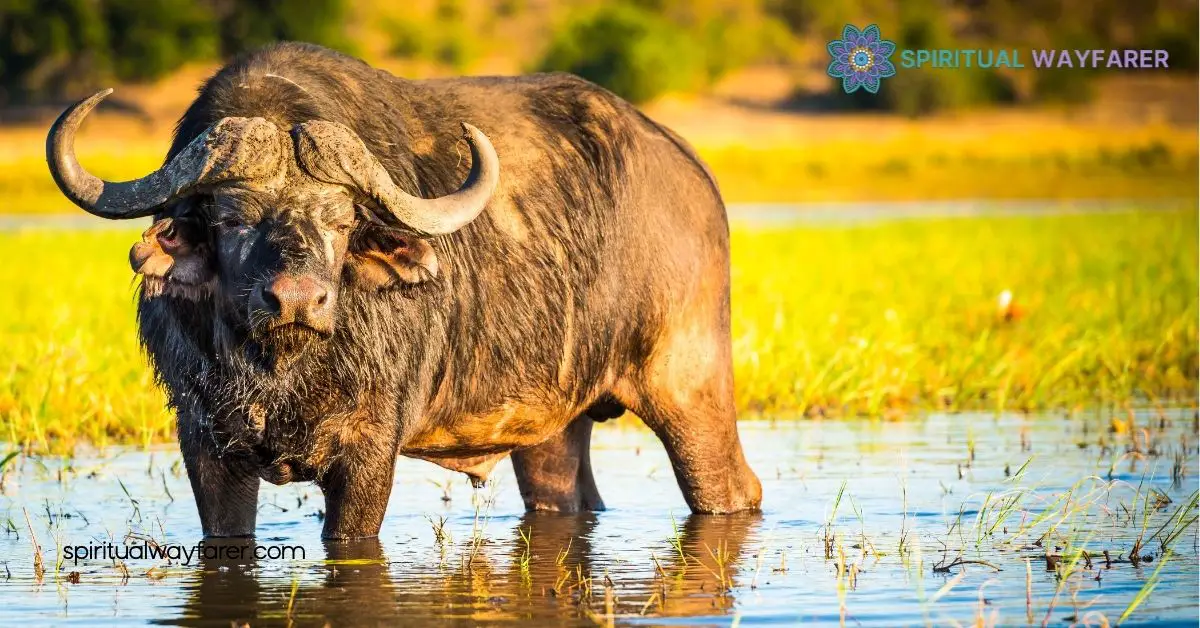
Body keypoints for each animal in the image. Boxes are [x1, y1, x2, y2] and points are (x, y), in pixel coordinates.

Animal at [47, 42, 762, 539]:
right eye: (231, 218)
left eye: (340, 220)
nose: (297, 300)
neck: (283, 371)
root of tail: (690, 171)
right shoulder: (206, 448)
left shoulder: (367, 455)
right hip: (552, 428)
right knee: (566, 495)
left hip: (691, 390)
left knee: (733, 488)